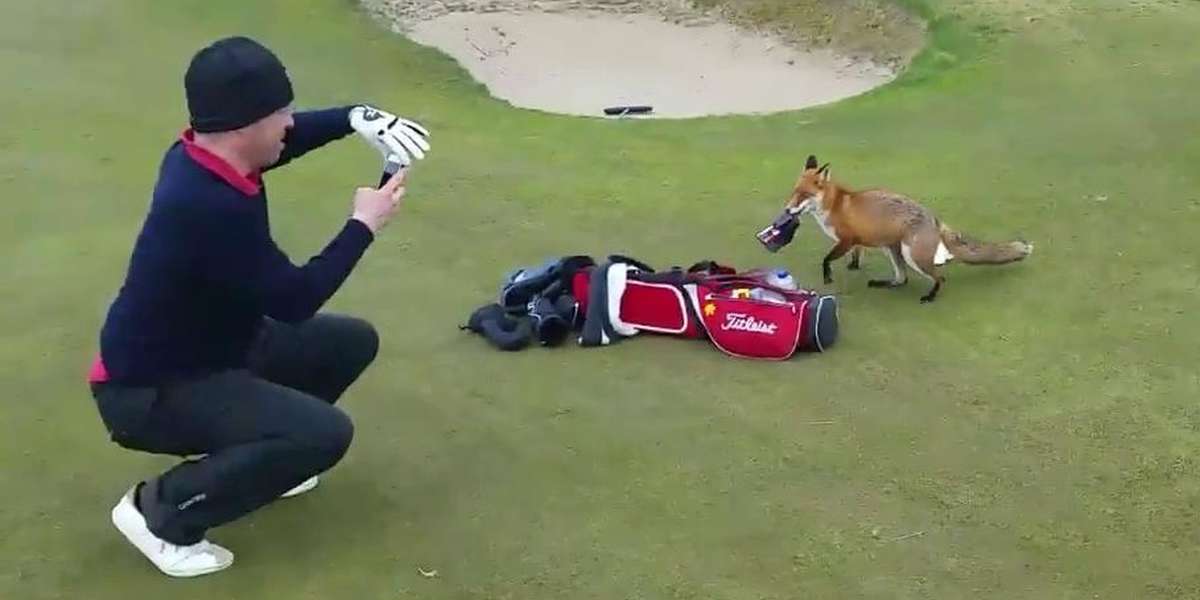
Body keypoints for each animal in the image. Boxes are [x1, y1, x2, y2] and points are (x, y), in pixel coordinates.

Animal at [779, 155, 1033, 303]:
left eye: (803, 195)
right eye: (794, 191)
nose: (787, 209)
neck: (834, 205)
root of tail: (934, 218)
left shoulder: (847, 239)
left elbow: (826, 259)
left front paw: (828, 275)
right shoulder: (857, 240)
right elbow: (857, 254)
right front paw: (853, 266)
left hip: (912, 256)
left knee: (939, 277)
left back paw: (930, 297)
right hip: (892, 249)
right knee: (902, 279)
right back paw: (885, 283)